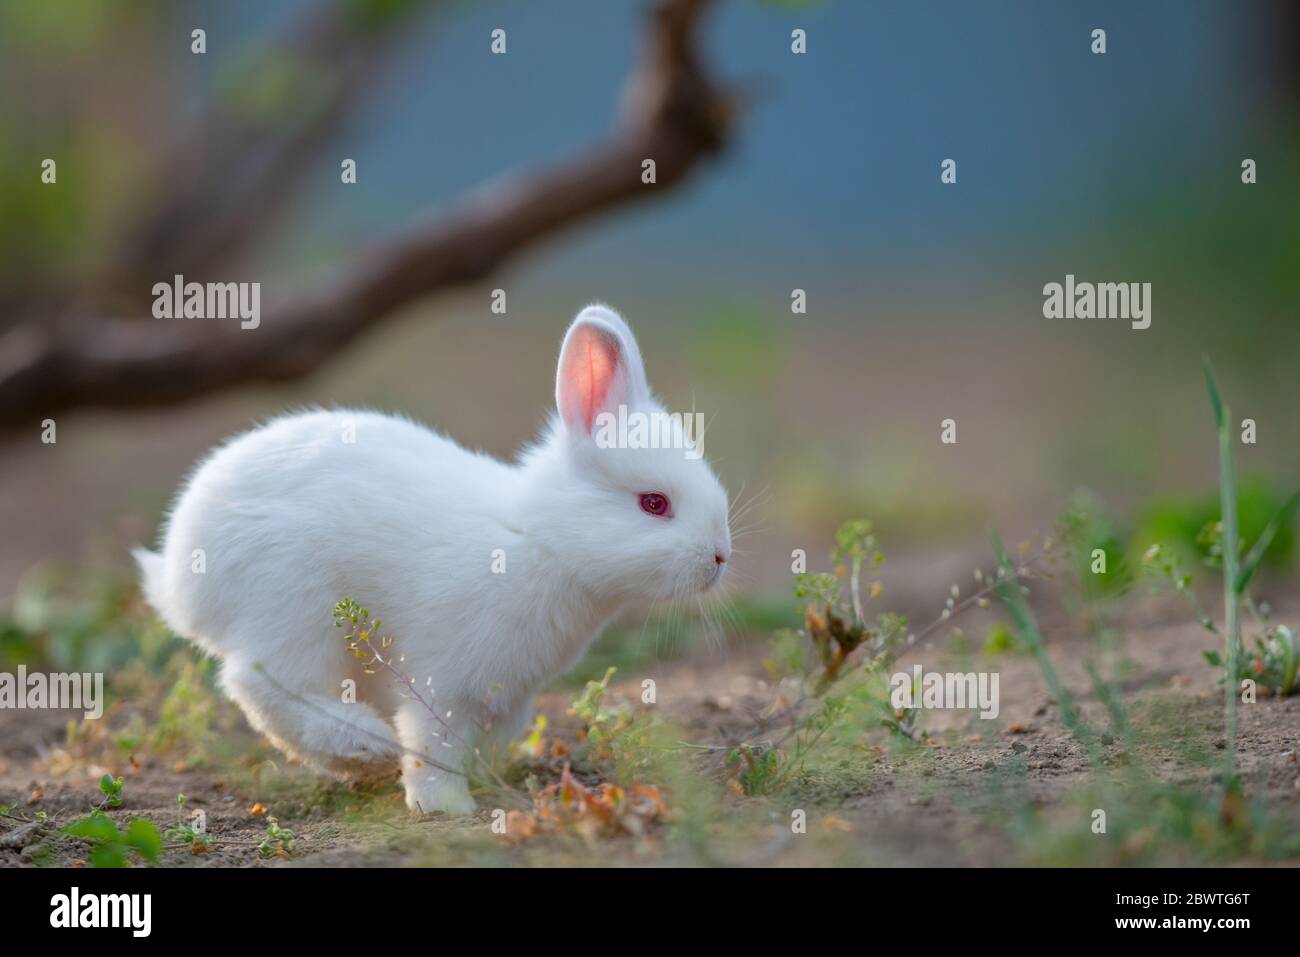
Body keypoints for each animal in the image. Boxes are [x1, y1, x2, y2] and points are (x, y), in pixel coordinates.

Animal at [134, 304, 732, 816]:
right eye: (654, 503)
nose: (720, 556)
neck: (539, 539)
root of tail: (180, 568)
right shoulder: (446, 683)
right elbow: (435, 744)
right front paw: (444, 806)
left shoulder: (508, 698)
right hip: (290, 609)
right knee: (261, 684)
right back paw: (365, 744)